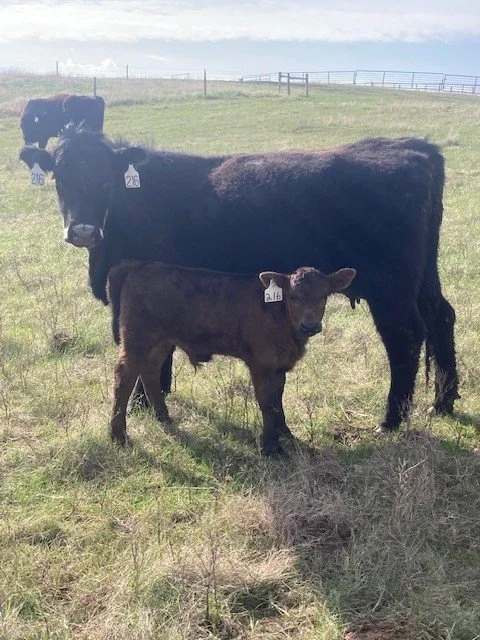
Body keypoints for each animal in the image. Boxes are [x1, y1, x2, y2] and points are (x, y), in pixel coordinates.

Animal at [19, 128, 459, 433]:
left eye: (106, 179)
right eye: (59, 176)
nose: (83, 230)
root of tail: (415, 148)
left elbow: (151, 354)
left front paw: (145, 404)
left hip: (391, 288)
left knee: (405, 335)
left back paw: (391, 419)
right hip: (423, 278)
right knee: (442, 316)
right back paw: (443, 401)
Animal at [107, 261, 356, 454]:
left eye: (324, 296)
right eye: (293, 297)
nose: (310, 325)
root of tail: (137, 265)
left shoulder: (279, 365)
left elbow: (278, 399)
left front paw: (286, 433)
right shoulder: (261, 363)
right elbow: (267, 402)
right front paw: (270, 446)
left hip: (162, 340)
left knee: (149, 370)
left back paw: (164, 417)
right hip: (137, 336)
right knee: (125, 375)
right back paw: (118, 435)